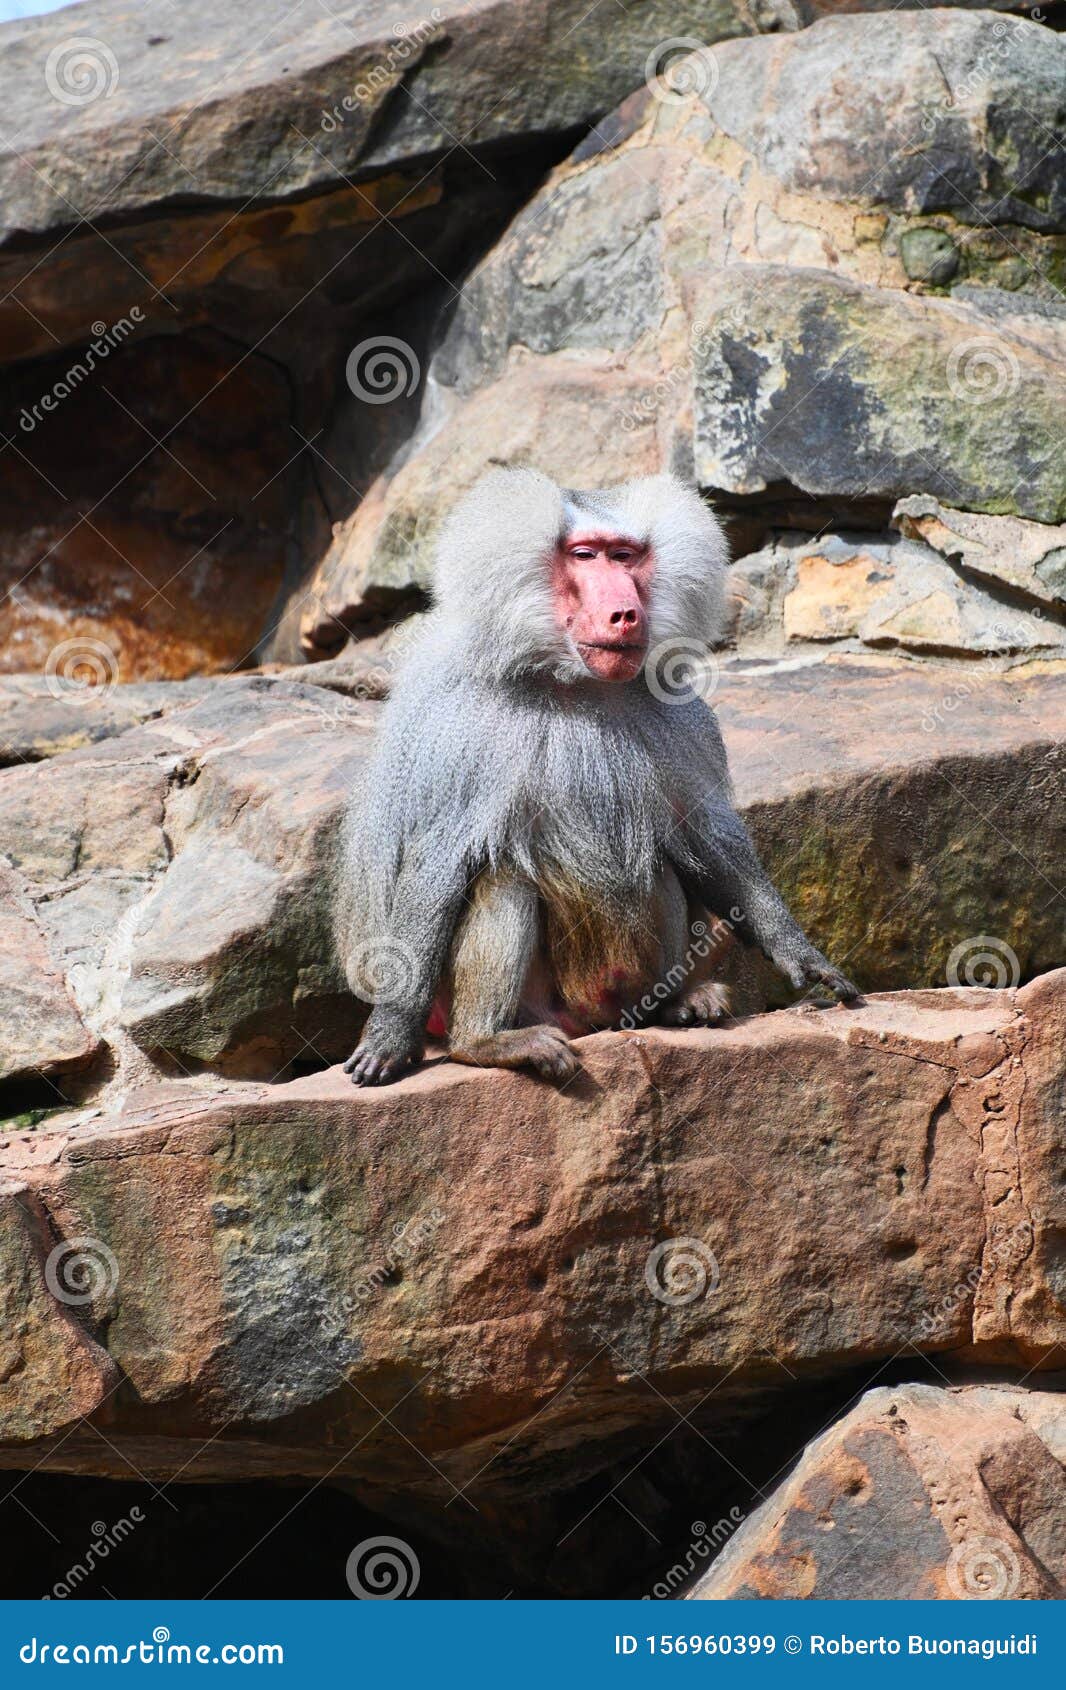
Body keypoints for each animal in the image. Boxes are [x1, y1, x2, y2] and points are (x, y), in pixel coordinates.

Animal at [336, 468, 858, 1086]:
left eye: (625, 556)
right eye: (584, 556)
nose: (625, 613)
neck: (571, 678)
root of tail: (592, 1019)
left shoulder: (681, 719)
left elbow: (705, 838)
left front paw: (797, 951)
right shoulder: (459, 723)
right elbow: (436, 860)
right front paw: (391, 1033)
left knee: (660, 861)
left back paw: (676, 1005)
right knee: (503, 877)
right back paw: (490, 1041)